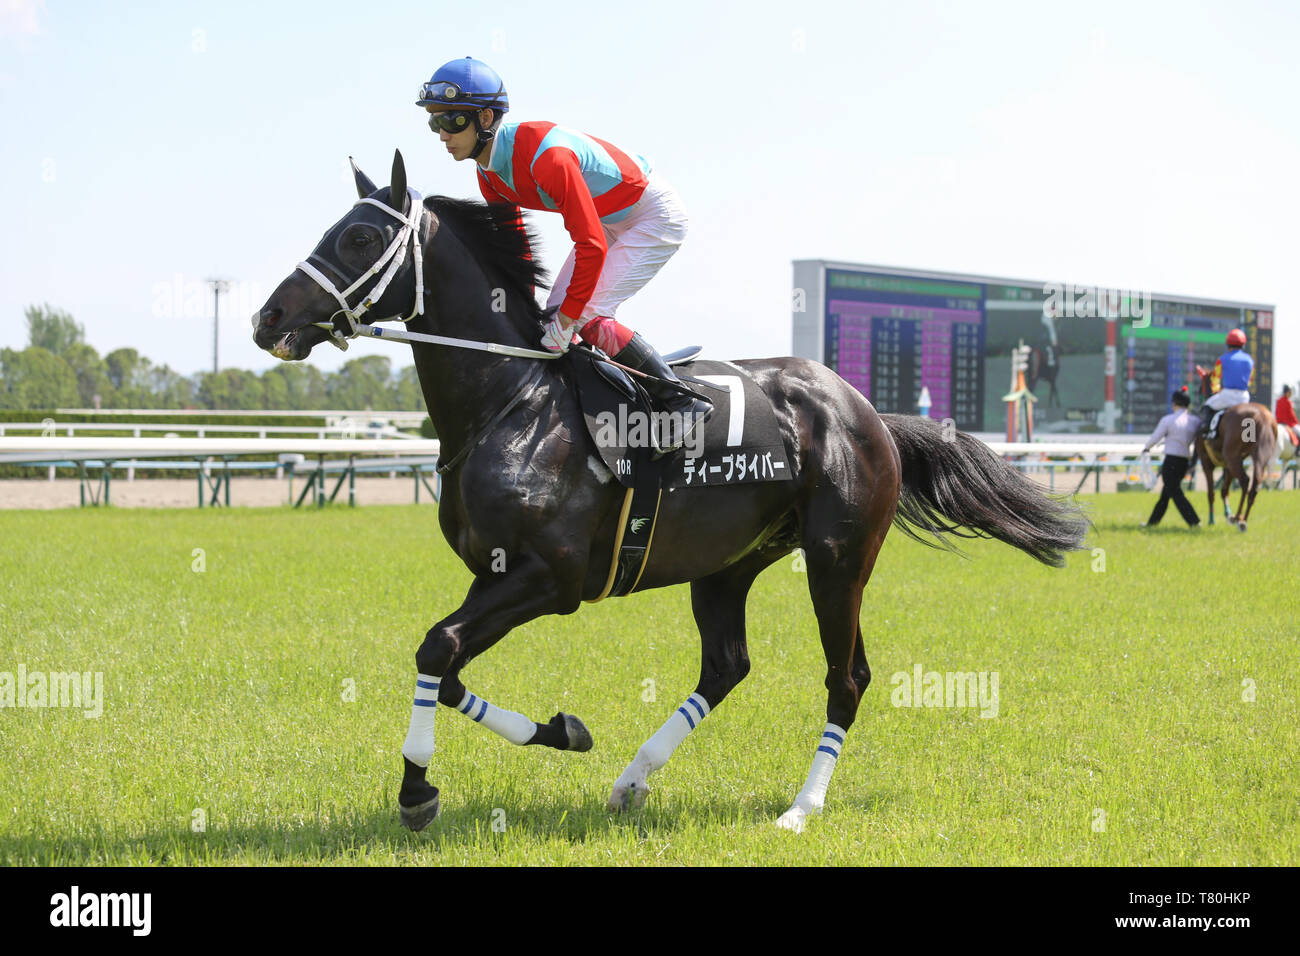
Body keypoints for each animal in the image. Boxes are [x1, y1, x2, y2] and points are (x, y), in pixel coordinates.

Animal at [252, 151, 1090, 833]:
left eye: (361, 239)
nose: (269, 316)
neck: (511, 399)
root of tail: (868, 412)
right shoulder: (493, 574)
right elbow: (446, 663)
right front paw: (562, 731)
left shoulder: (550, 578)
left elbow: (438, 646)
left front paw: (417, 790)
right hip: (728, 565)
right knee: (726, 666)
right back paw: (632, 780)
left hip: (838, 557)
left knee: (846, 677)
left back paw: (800, 808)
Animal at [1193, 365, 1277, 531]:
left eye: (1200, 387)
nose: (1198, 397)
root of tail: (1260, 415)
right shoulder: (1228, 466)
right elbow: (1224, 490)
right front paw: (1227, 514)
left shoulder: (1207, 462)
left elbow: (1212, 493)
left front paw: (1212, 520)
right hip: (1260, 456)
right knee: (1255, 482)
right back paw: (1242, 519)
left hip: (1232, 457)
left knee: (1245, 480)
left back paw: (1238, 517)